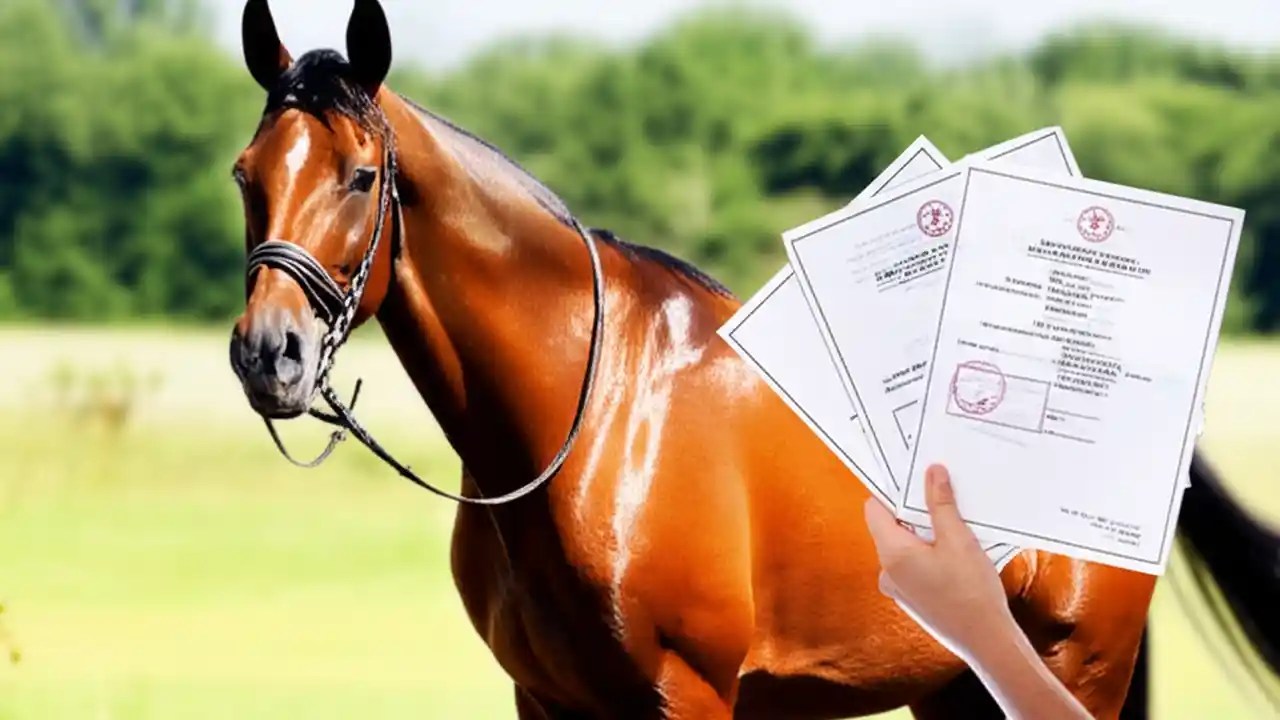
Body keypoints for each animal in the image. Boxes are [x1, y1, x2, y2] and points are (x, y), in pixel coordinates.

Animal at [227, 1, 1280, 717]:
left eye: (362, 175)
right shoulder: (548, 700)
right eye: (246, 175)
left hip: (1076, 669)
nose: (269, 355)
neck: (589, 424)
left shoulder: (687, 696)